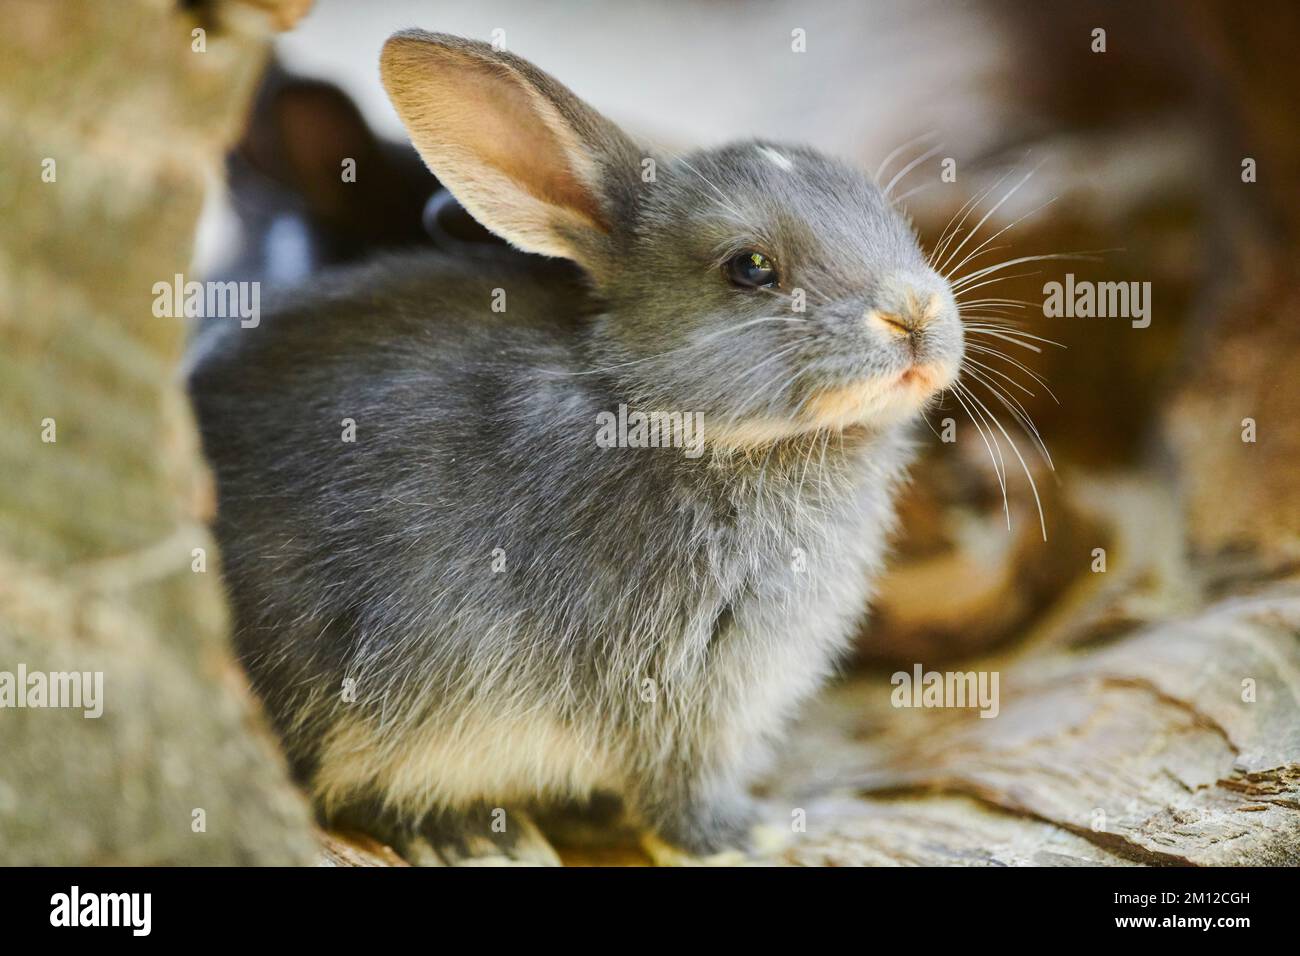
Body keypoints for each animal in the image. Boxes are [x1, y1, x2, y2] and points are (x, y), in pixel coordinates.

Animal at [187, 29, 965, 865]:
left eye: (892, 218)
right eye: (750, 268)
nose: (914, 315)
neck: (664, 414)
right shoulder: (671, 684)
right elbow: (677, 782)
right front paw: (740, 838)